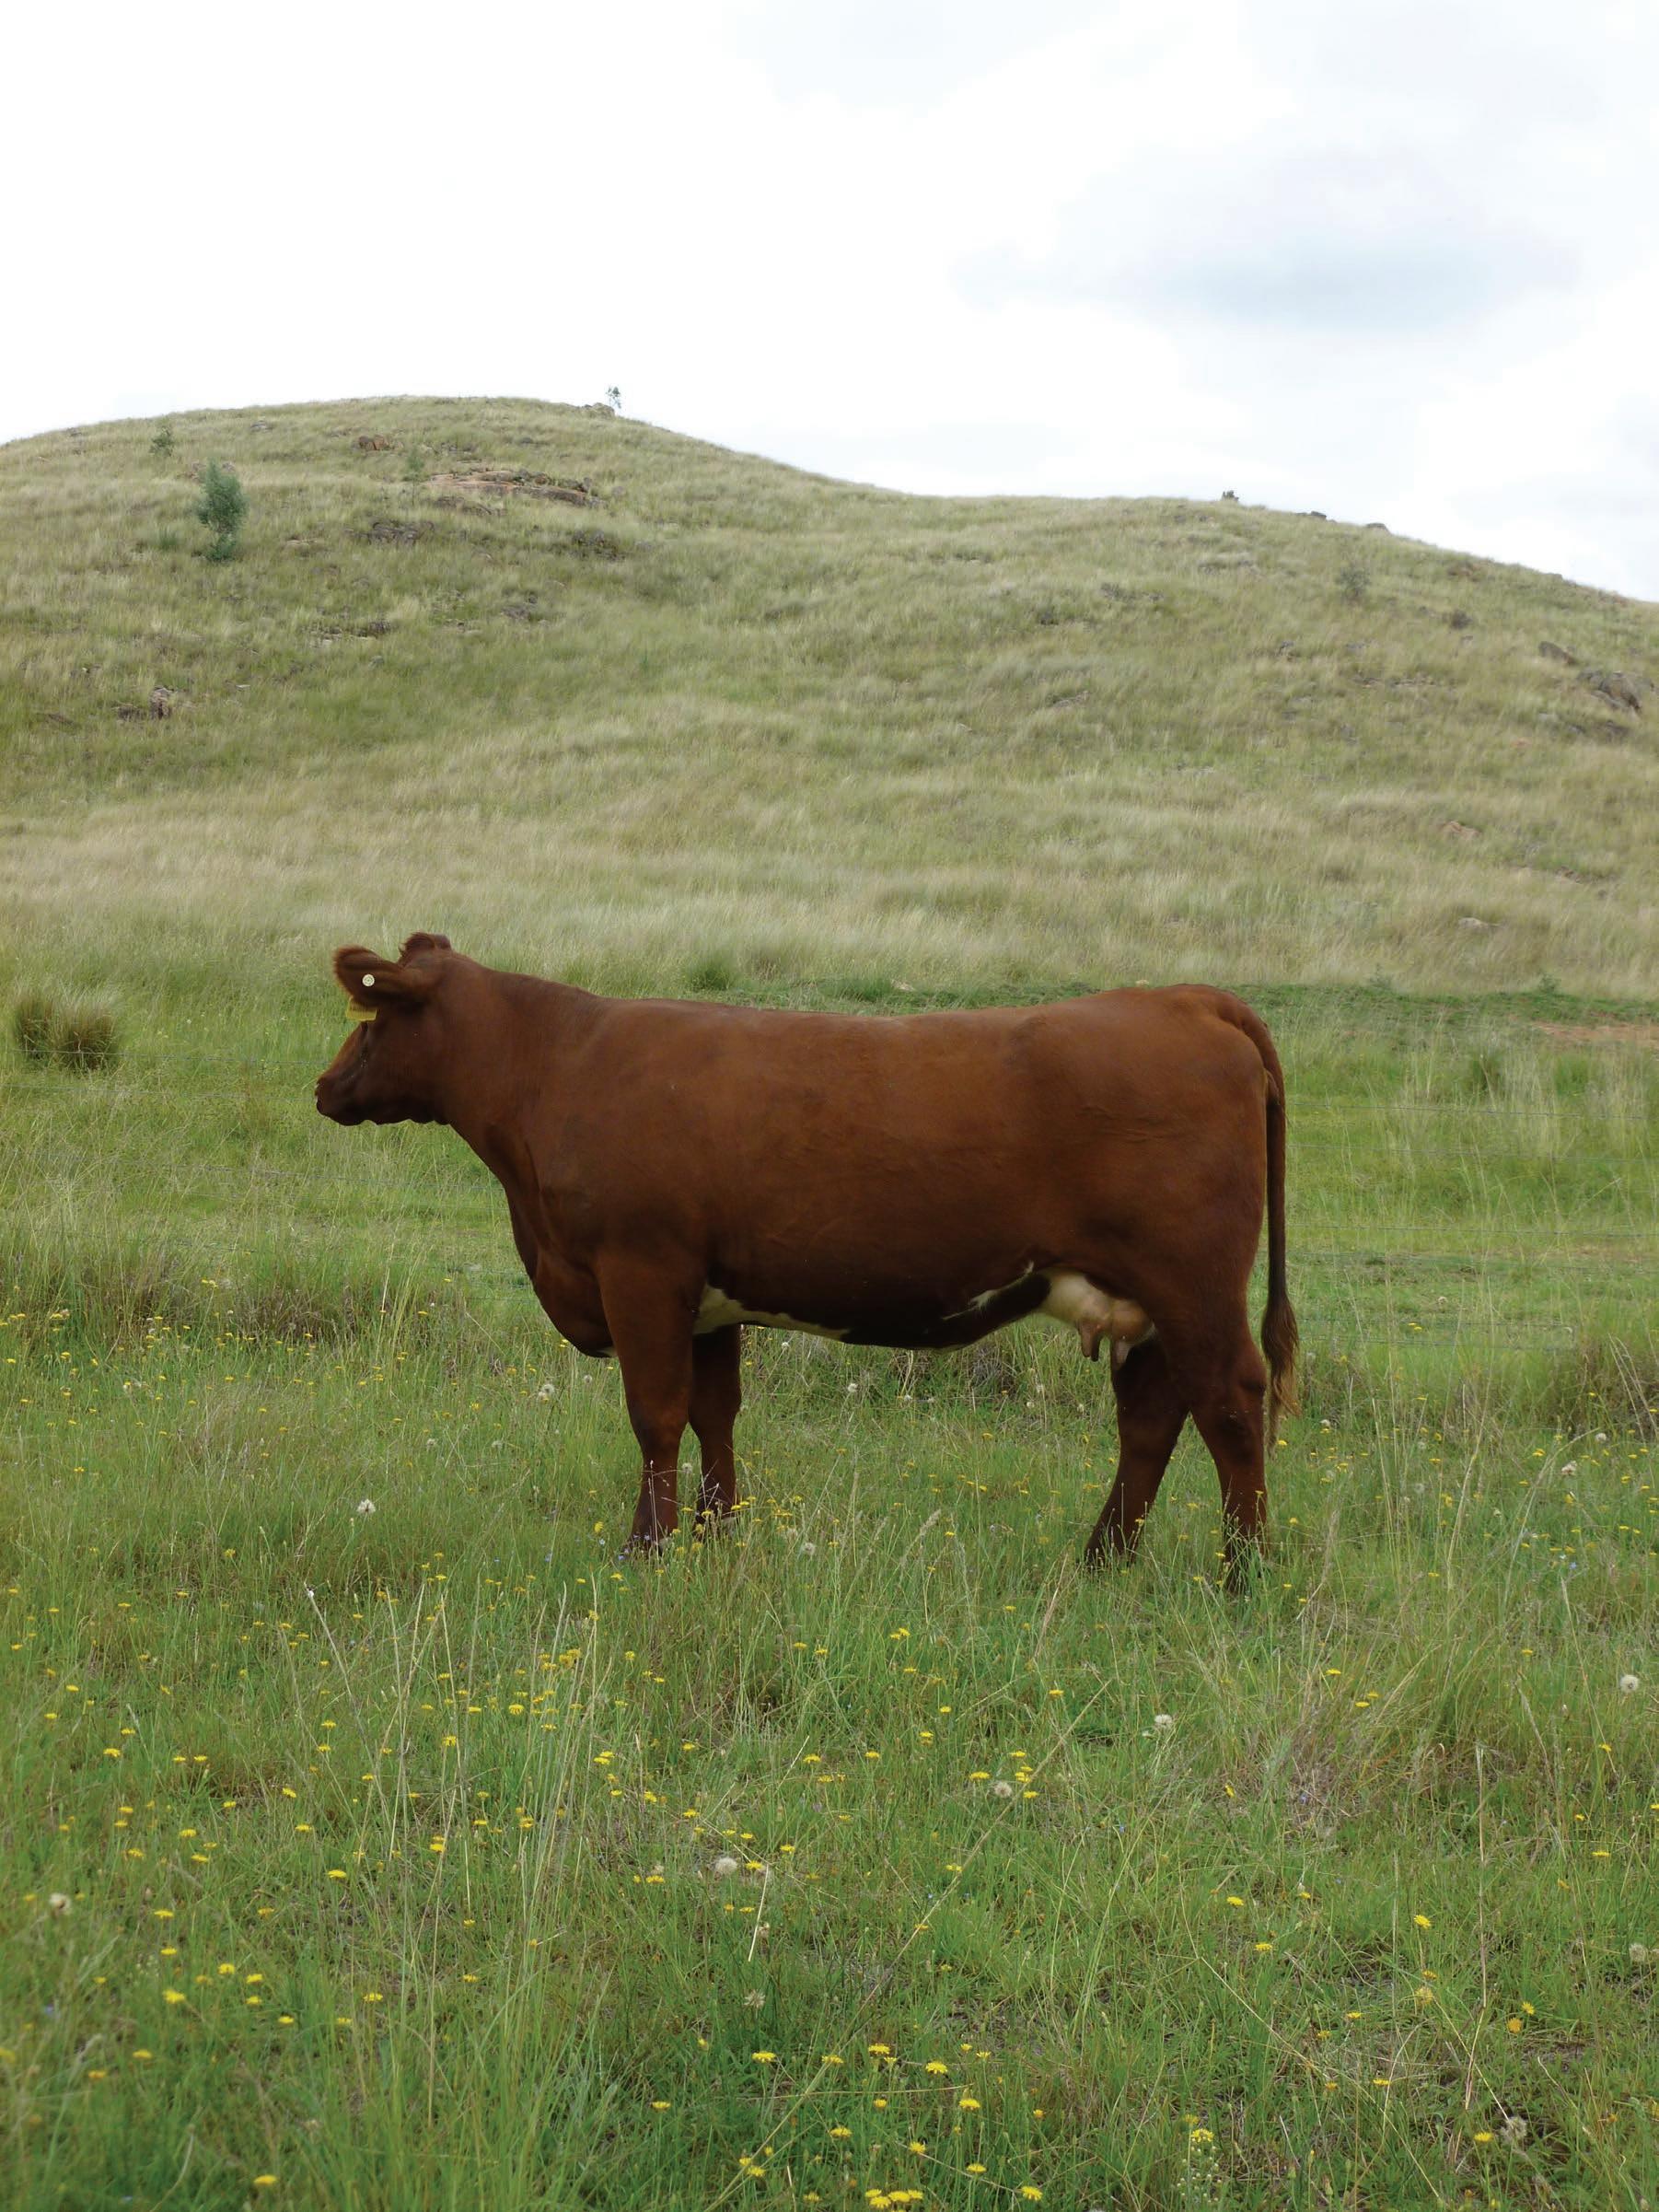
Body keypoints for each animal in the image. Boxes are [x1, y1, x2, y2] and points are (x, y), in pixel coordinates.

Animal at [315, 935, 1297, 1577]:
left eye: (373, 1015)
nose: (324, 1087)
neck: (553, 1066)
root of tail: (1181, 997)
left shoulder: (642, 1271)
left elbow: (654, 1417)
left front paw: (648, 1549)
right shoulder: (707, 1299)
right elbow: (713, 1415)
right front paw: (715, 1537)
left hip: (1194, 1283)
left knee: (1230, 1405)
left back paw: (1243, 1572)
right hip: (1146, 1300)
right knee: (1153, 1419)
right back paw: (1104, 1561)